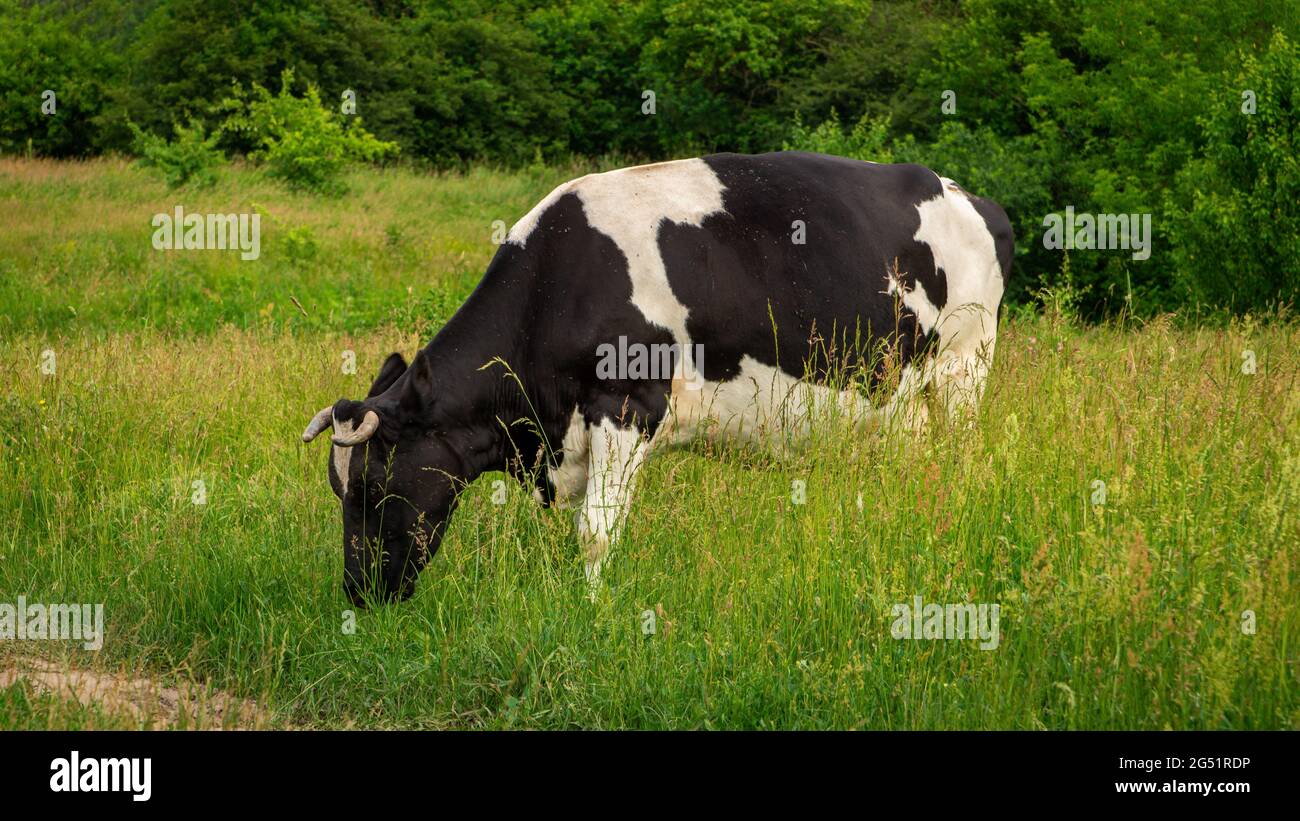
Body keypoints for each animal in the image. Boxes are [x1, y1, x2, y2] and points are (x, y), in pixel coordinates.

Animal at [302, 151, 1014, 606]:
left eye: (372, 486)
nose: (359, 593)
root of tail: (969, 196)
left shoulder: (626, 404)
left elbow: (595, 532)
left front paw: (590, 613)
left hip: (964, 368)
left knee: (962, 466)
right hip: (906, 399)